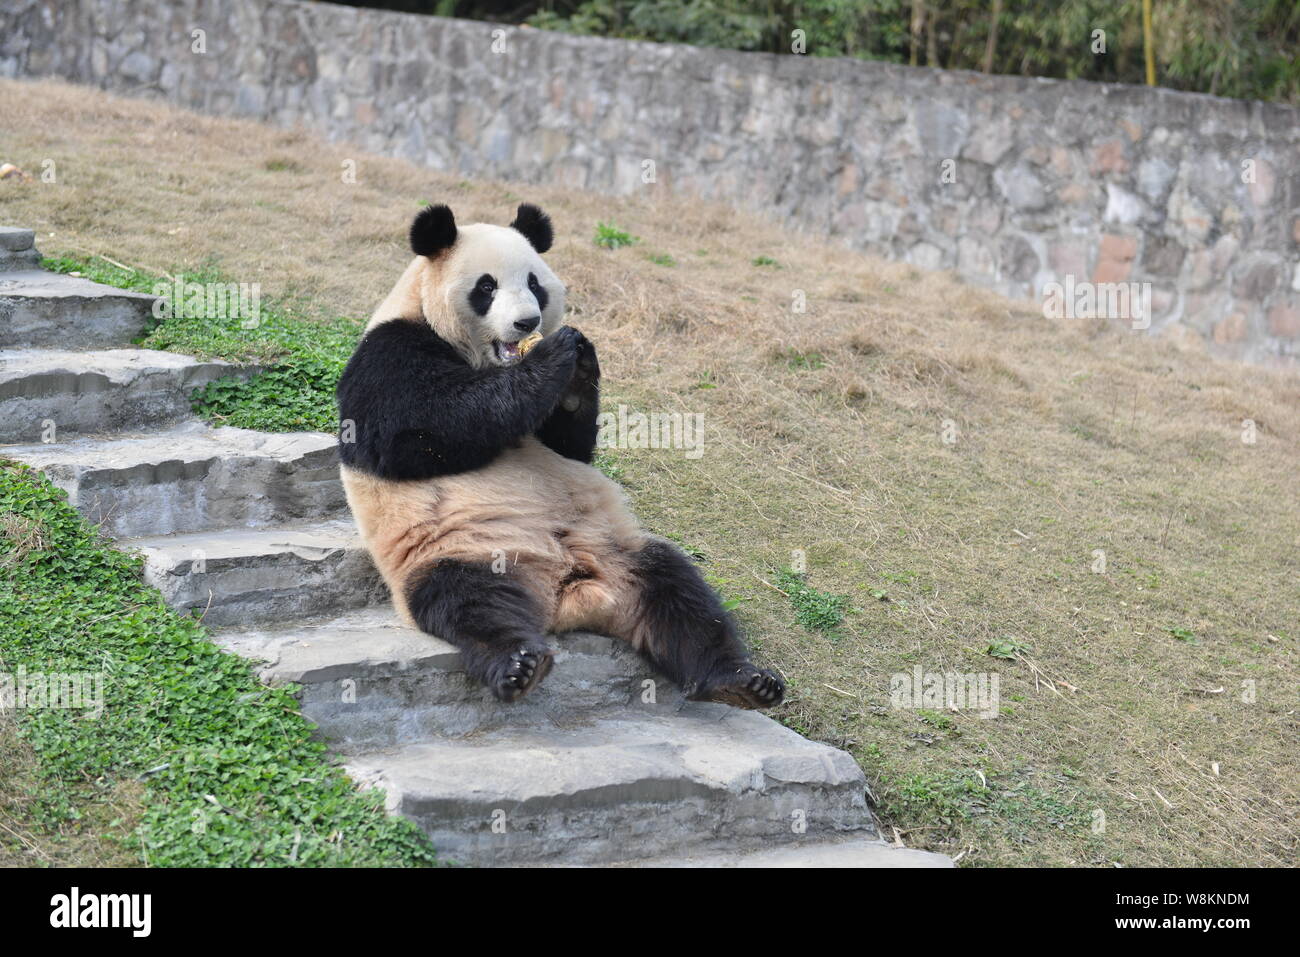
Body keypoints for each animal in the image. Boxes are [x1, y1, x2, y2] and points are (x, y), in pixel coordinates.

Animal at [336, 203, 785, 710]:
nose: (527, 323)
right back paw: (519, 664)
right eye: (486, 287)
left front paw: (581, 365)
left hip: (618, 549)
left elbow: (570, 448)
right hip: (455, 550)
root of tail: (568, 593)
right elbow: (414, 432)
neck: (480, 357)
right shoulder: (389, 352)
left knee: (681, 596)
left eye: (535, 284)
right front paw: (554, 356)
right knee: (469, 603)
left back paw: (741, 680)